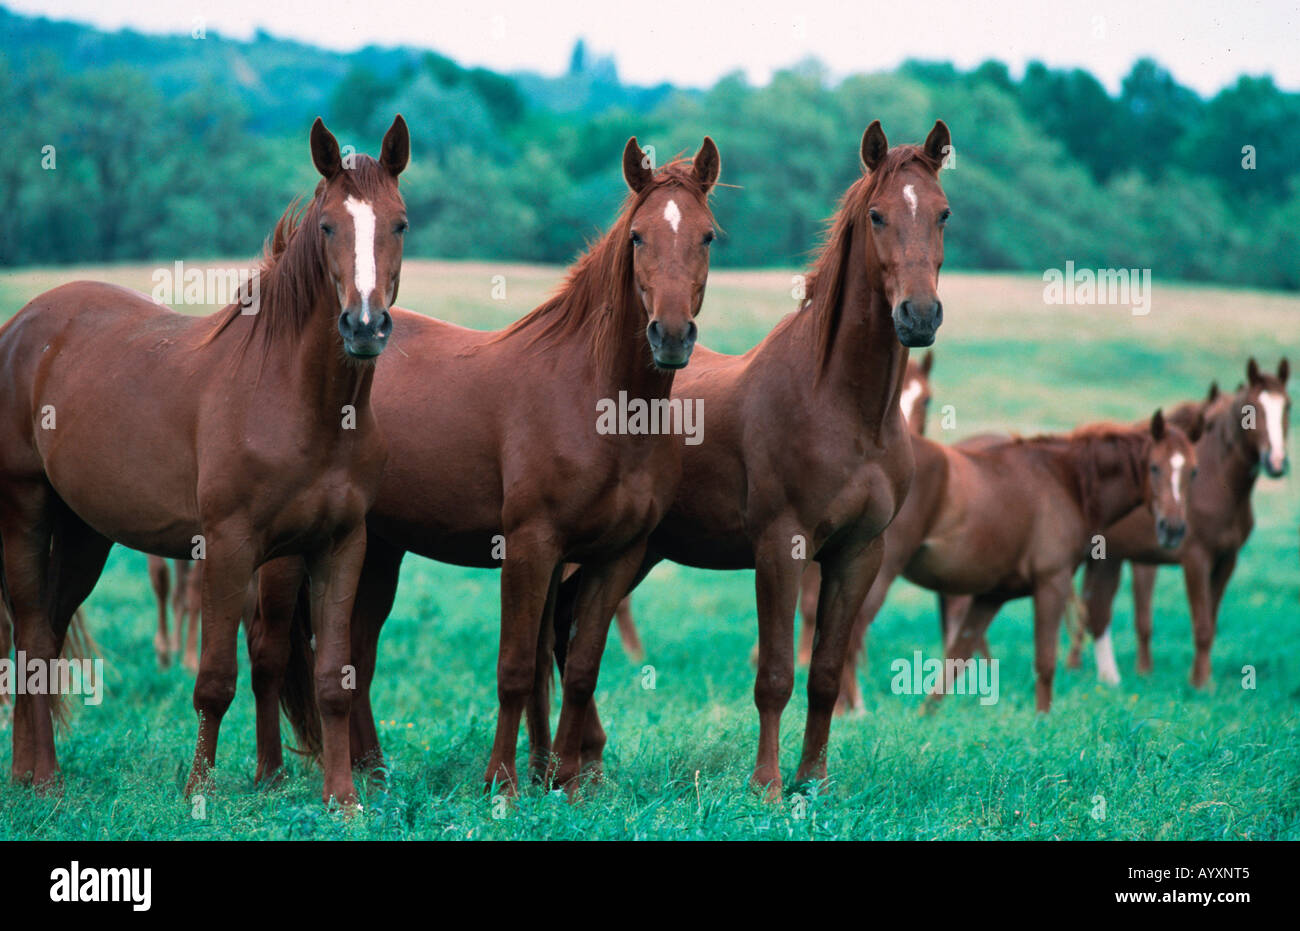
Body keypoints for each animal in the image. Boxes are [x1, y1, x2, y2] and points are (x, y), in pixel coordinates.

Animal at [0, 116, 409, 806]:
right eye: (329, 226)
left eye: (400, 223)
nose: (364, 326)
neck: (301, 401)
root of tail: (23, 326)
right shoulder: (228, 545)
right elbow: (214, 680)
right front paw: (198, 793)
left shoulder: (340, 545)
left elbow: (332, 679)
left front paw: (344, 801)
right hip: (26, 507)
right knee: (30, 630)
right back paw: (47, 778)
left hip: (85, 532)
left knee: (47, 636)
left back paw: (27, 774)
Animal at [256, 138, 723, 795]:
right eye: (638, 236)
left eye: (706, 236)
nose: (673, 336)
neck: (598, 400)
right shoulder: (530, 545)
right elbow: (516, 669)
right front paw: (501, 782)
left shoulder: (616, 556)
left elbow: (581, 669)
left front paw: (569, 782)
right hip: (290, 557)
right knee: (269, 653)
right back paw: (271, 776)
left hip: (378, 550)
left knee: (356, 659)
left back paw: (373, 774)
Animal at [548, 121, 954, 798]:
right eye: (877, 215)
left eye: (943, 213)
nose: (918, 316)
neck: (842, 405)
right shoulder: (780, 547)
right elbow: (776, 675)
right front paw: (766, 784)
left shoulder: (858, 553)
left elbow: (825, 674)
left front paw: (812, 781)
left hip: (642, 551)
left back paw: (591, 760)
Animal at [1072, 358, 1290, 687]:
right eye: (1250, 410)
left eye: (1288, 406)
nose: (1276, 462)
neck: (1218, 482)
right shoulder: (1194, 558)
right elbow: (1200, 624)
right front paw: (1201, 684)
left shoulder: (1226, 560)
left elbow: (1210, 621)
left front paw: (1202, 678)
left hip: (1105, 558)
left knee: (1091, 606)